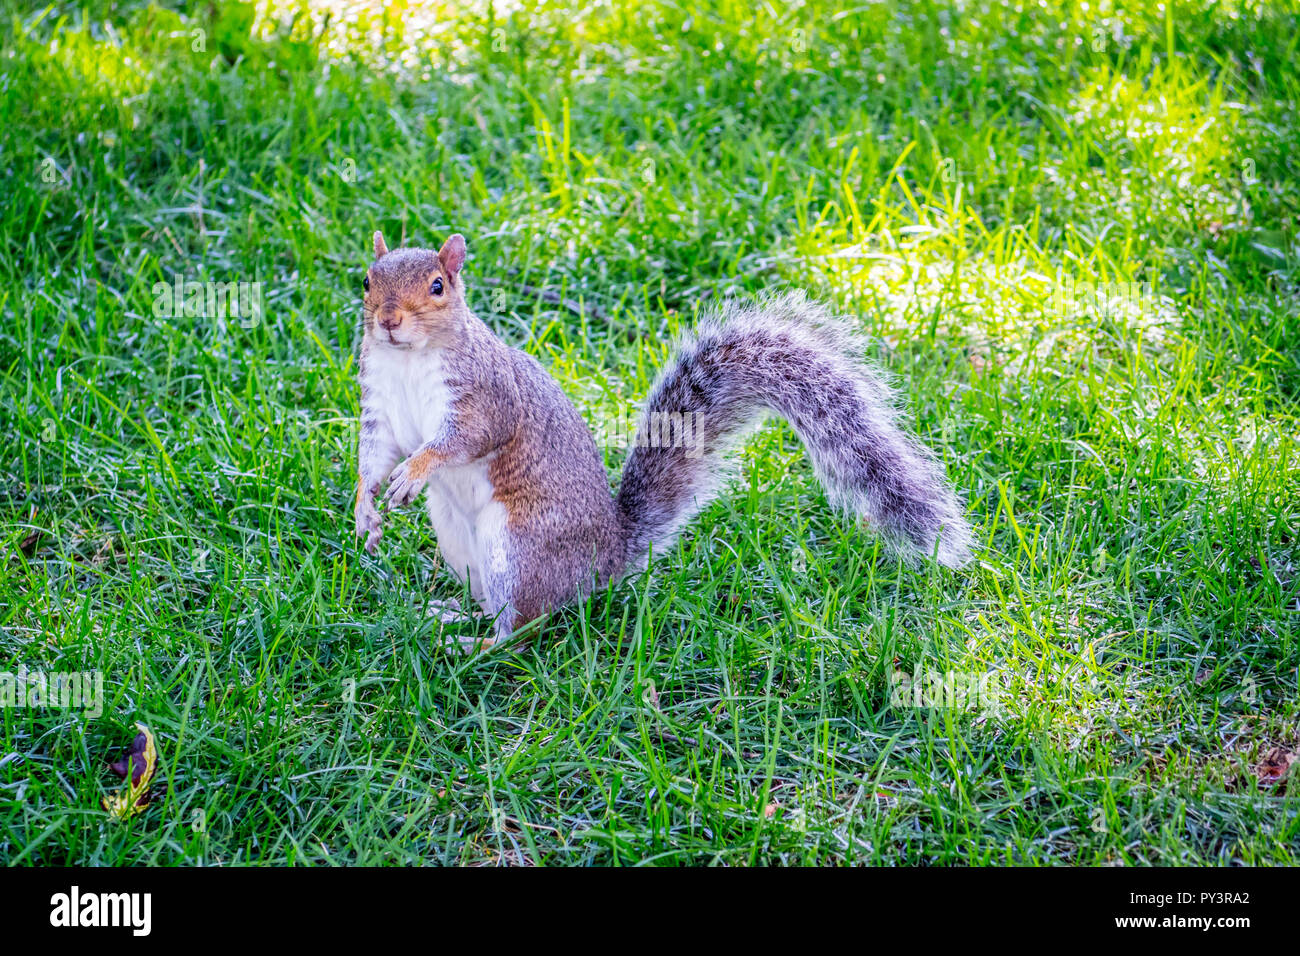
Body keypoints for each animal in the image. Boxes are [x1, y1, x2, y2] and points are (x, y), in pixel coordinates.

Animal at [354, 231, 973, 649]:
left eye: (437, 287)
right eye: (366, 280)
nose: (388, 320)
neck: (410, 360)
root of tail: (605, 561)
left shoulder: (484, 396)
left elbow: (462, 440)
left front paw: (416, 470)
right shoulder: (379, 407)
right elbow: (374, 456)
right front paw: (366, 509)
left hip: (518, 547)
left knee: (526, 624)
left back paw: (475, 644)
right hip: (463, 547)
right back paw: (455, 616)